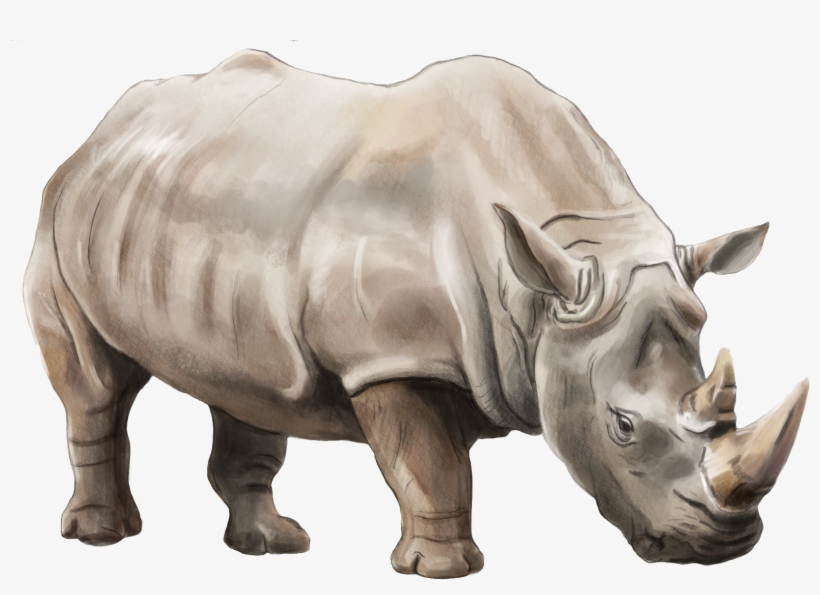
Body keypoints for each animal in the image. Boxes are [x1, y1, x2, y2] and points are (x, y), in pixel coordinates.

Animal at [24, 50, 808, 578]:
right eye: (621, 425)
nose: (724, 548)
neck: (542, 288)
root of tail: (104, 130)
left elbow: (430, 462)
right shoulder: (392, 358)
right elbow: (430, 465)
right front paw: (443, 570)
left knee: (247, 382)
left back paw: (275, 545)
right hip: (57, 214)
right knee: (95, 382)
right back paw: (101, 536)